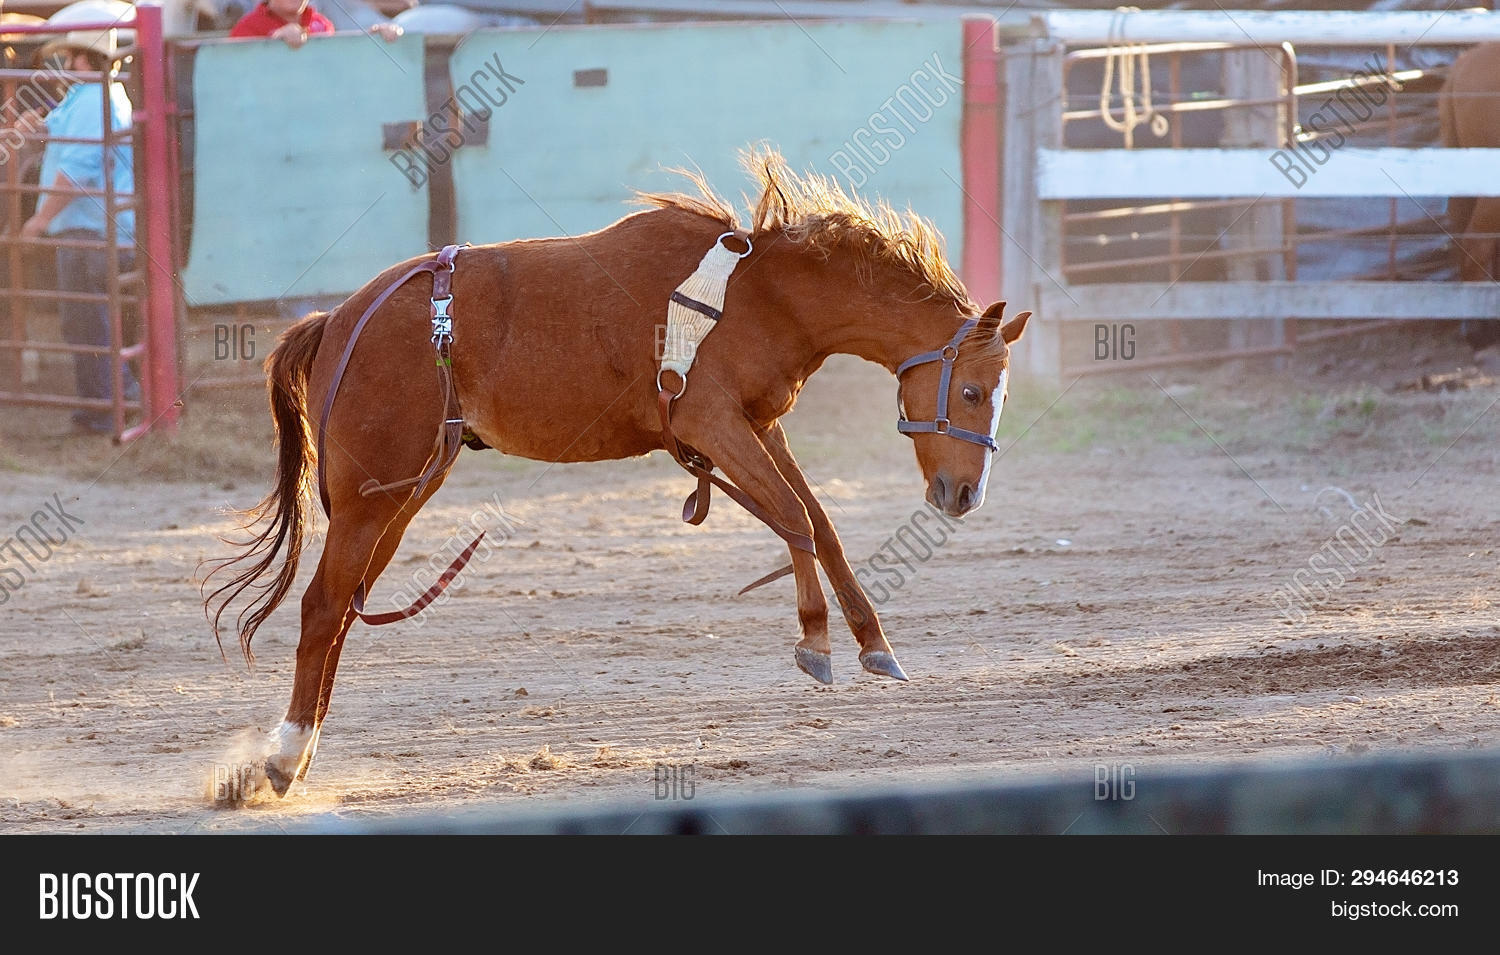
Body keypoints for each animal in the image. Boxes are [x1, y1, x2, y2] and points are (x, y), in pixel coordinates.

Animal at [201, 148, 1030, 800]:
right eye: (972, 391)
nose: (963, 494)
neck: (761, 296)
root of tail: (339, 319)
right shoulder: (712, 423)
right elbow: (796, 518)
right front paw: (817, 643)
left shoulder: (759, 425)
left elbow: (820, 523)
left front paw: (873, 641)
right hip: (376, 494)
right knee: (321, 606)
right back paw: (283, 757)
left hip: (400, 496)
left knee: (343, 611)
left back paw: (292, 757)